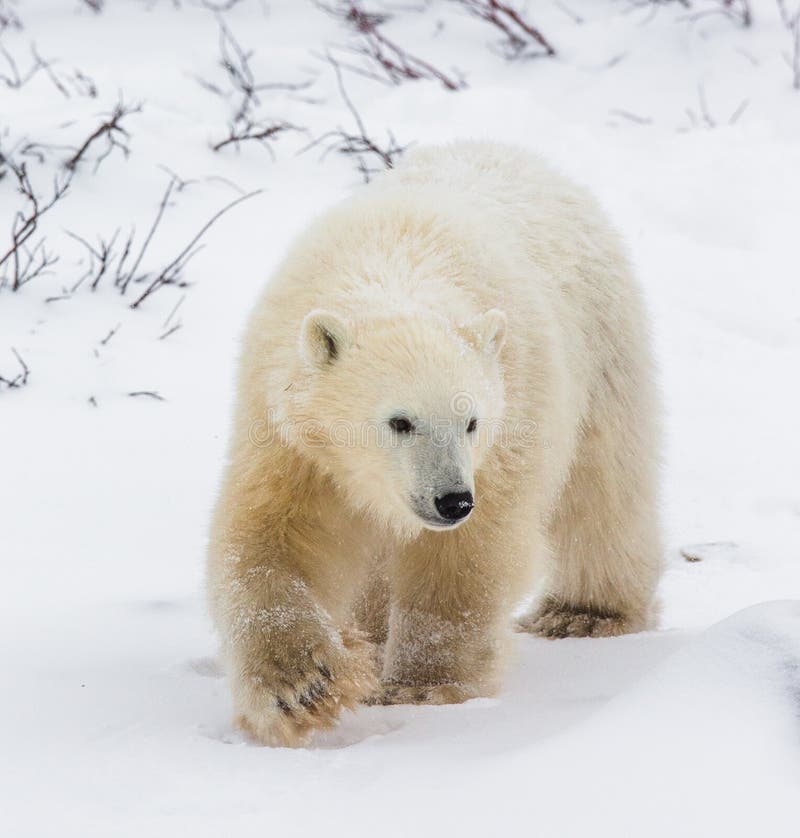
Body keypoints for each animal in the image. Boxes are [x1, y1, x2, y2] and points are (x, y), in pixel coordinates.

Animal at [207, 141, 662, 747]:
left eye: (471, 421)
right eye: (400, 421)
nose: (452, 501)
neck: (397, 263)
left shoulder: (511, 418)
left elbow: (466, 557)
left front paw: (424, 685)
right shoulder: (291, 435)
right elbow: (274, 537)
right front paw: (301, 687)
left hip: (603, 343)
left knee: (603, 486)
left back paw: (583, 612)